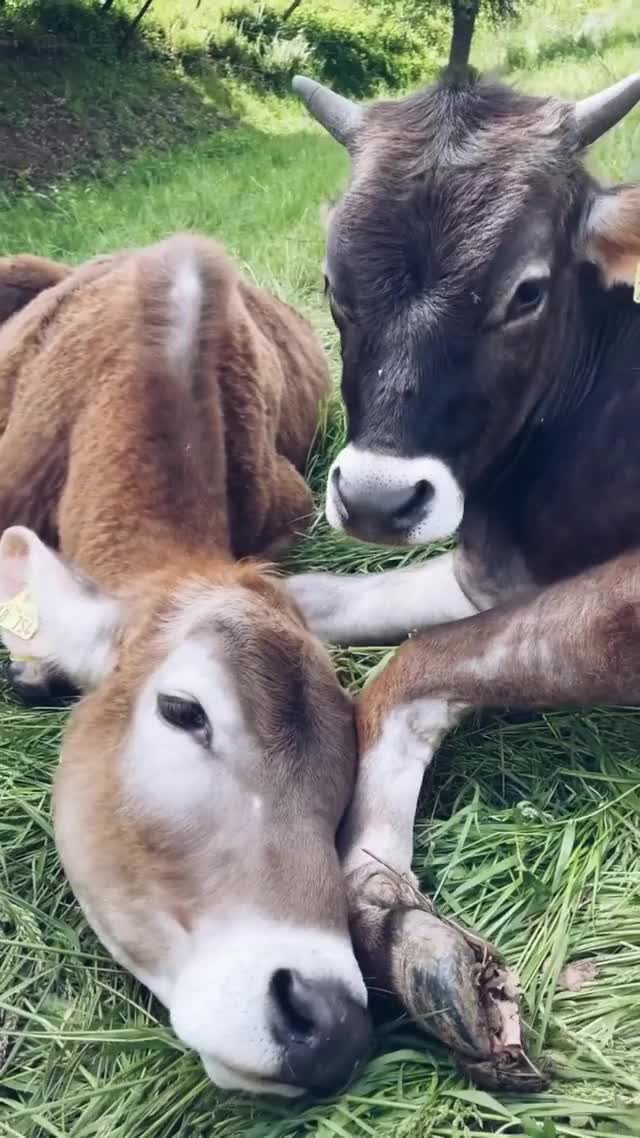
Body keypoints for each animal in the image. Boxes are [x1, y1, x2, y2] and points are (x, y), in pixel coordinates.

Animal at [287, 69, 640, 1057]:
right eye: (332, 283)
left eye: (526, 291)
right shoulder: (488, 570)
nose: (376, 498)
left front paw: (397, 924)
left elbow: (412, 666)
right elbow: (313, 592)